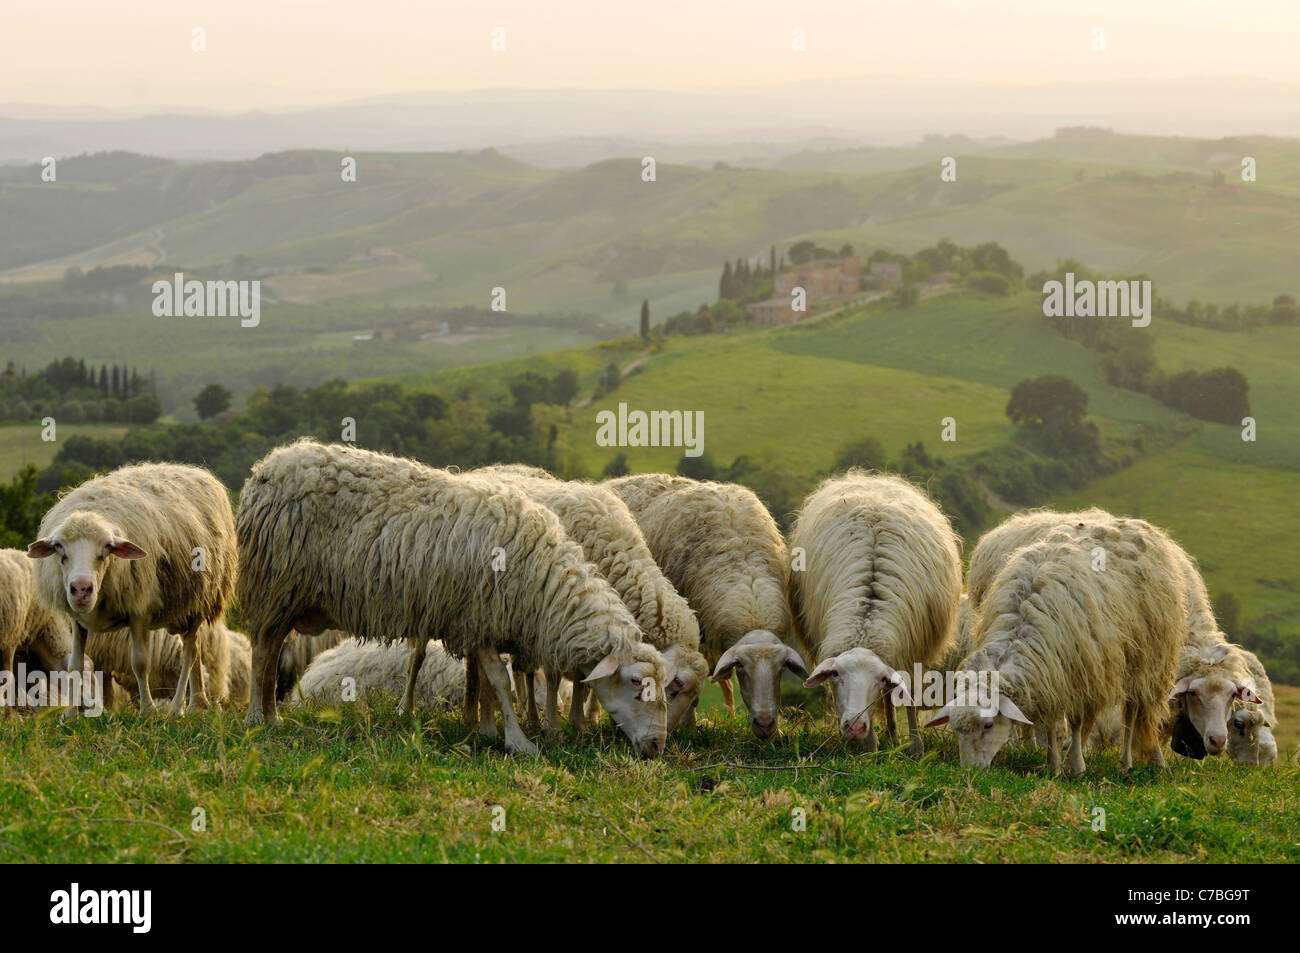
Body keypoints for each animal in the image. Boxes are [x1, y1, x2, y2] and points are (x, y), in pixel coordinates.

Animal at [27, 462, 236, 715]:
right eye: (58, 547)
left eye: (107, 547)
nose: (81, 589)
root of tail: (192, 469)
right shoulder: (76, 620)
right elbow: (75, 665)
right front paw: (68, 715)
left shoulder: (138, 611)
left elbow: (140, 662)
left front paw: (147, 709)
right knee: (195, 650)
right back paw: (197, 704)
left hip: (198, 599)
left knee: (189, 652)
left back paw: (178, 707)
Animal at [235, 439, 668, 757]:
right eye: (635, 682)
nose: (658, 746)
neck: (543, 581)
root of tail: (268, 467)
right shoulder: (479, 615)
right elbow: (500, 682)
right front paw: (519, 742)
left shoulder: (481, 622)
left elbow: (489, 684)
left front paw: (490, 731)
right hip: (272, 585)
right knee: (261, 653)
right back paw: (256, 718)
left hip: (289, 596)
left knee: (272, 655)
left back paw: (273, 717)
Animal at [473, 465, 707, 732]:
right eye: (676, 685)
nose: (667, 730)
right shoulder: (557, 620)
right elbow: (554, 678)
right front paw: (553, 725)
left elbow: (583, 678)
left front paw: (579, 722)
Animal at [789, 473, 961, 756]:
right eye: (836, 674)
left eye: (879, 679)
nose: (855, 727)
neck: (866, 621)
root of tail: (871, 479)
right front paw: (868, 746)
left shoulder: (911, 652)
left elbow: (908, 698)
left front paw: (915, 747)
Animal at [928, 520, 1185, 776]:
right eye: (956, 727)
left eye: (988, 725)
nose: (970, 771)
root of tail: (1140, 525)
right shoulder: (1051, 671)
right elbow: (1051, 721)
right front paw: (1054, 765)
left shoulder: (1077, 672)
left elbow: (1076, 721)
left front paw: (1077, 767)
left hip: (1146, 657)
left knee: (1132, 712)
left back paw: (1129, 762)